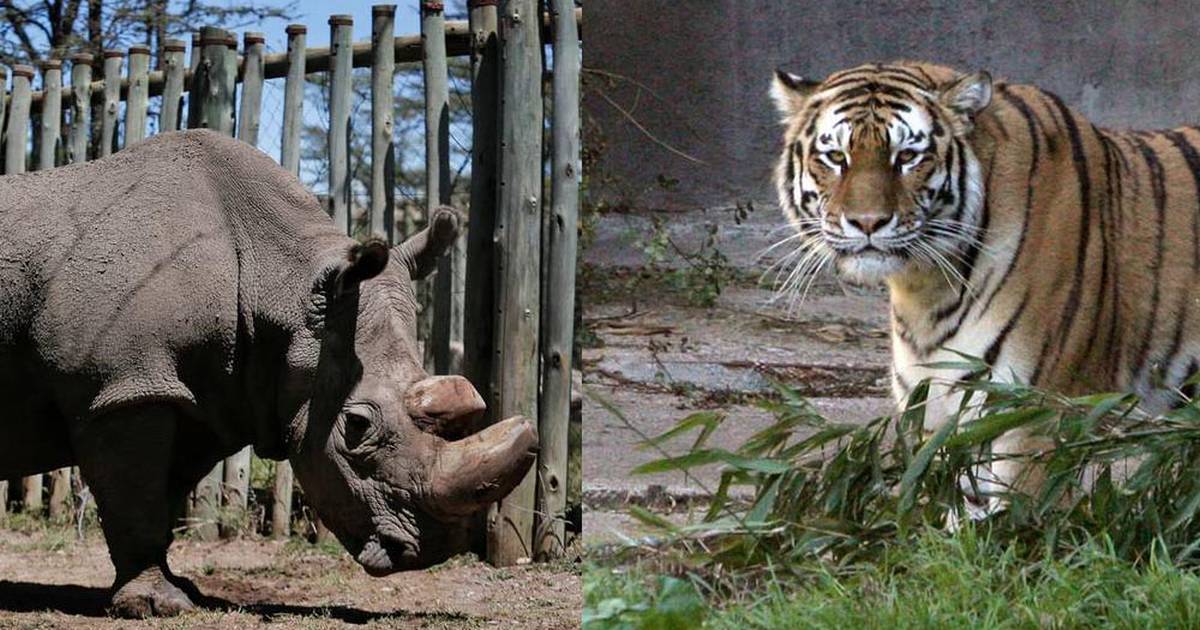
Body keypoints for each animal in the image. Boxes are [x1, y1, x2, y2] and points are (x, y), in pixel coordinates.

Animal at [769, 61, 1200, 519]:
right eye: (836, 157)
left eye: (907, 157)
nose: (868, 222)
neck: (924, 288)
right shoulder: (940, 421)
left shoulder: (1034, 417)